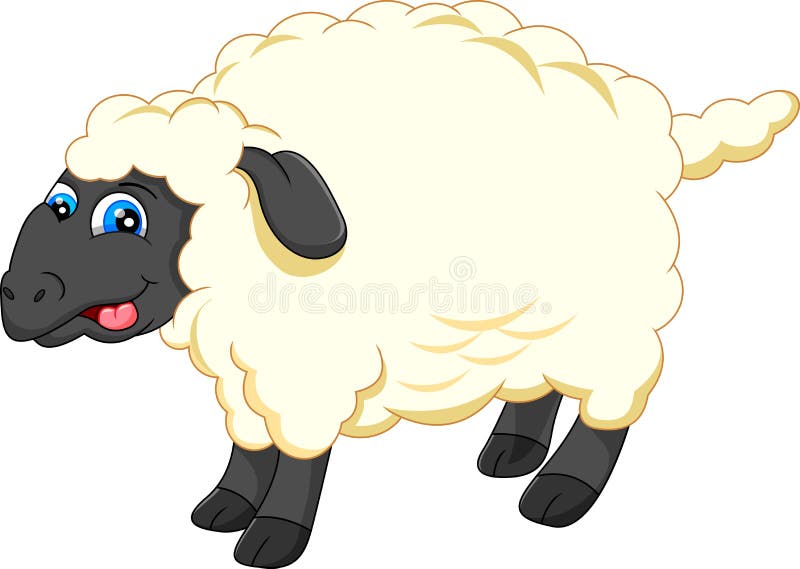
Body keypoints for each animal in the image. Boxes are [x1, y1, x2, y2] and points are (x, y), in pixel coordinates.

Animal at [1, 1, 796, 567]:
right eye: (60, 201)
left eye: (125, 216)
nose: (15, 295)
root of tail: (656, 127)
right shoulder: (242, 362)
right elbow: (248, 445)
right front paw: (223, 508)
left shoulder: (305, 364)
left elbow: (298, 456)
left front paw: (273, 538)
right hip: (527, 311)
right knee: (534, 380)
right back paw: (510, 454)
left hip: (607, 305)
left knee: (615, 396)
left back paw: (559, 490)